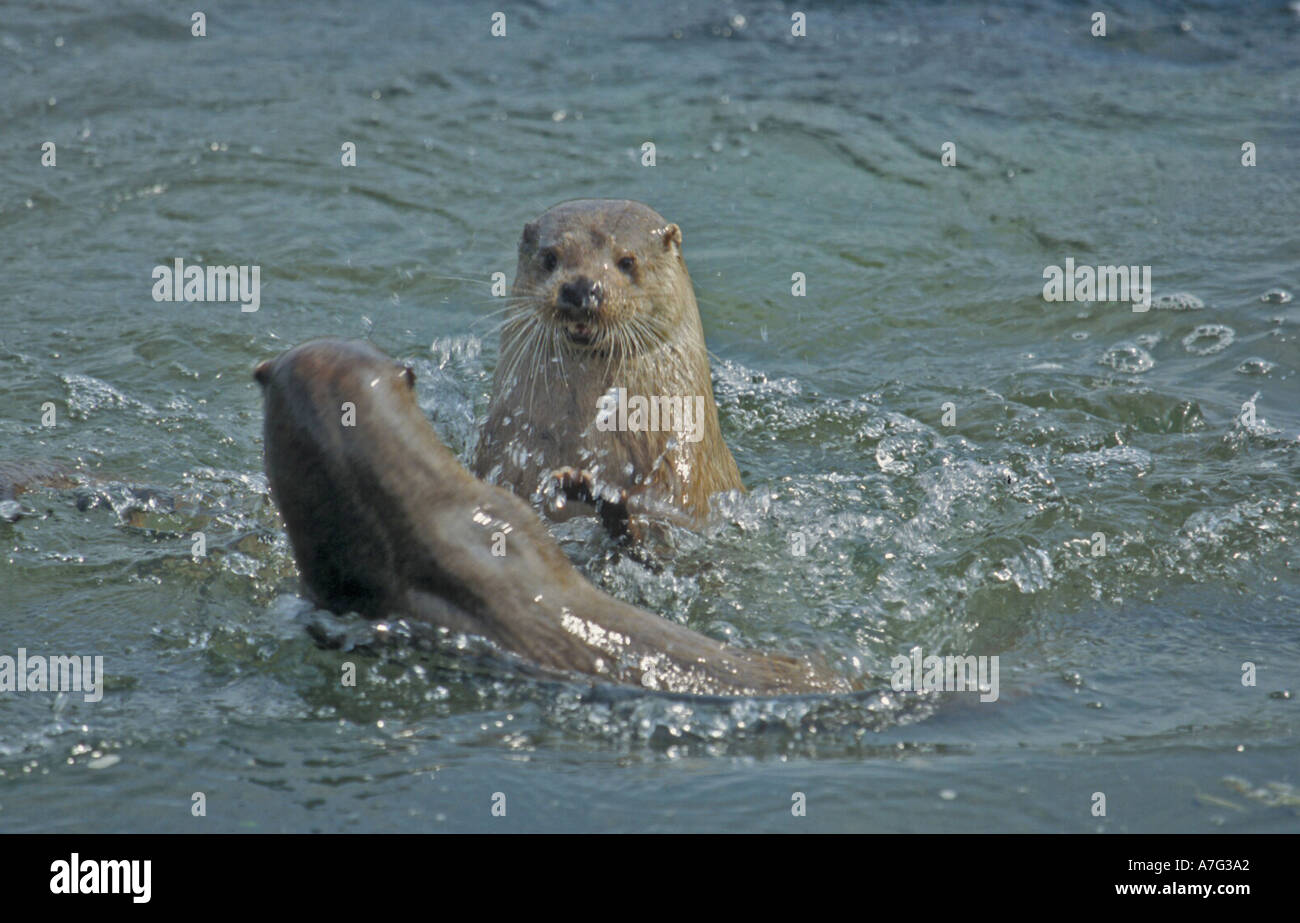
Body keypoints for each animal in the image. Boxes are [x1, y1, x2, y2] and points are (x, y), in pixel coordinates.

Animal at [473, 199, 743, 538]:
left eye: (627, 261)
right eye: (550, 258)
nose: (581, 287)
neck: (589, 438)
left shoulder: (687, 472)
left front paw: (602, 499)